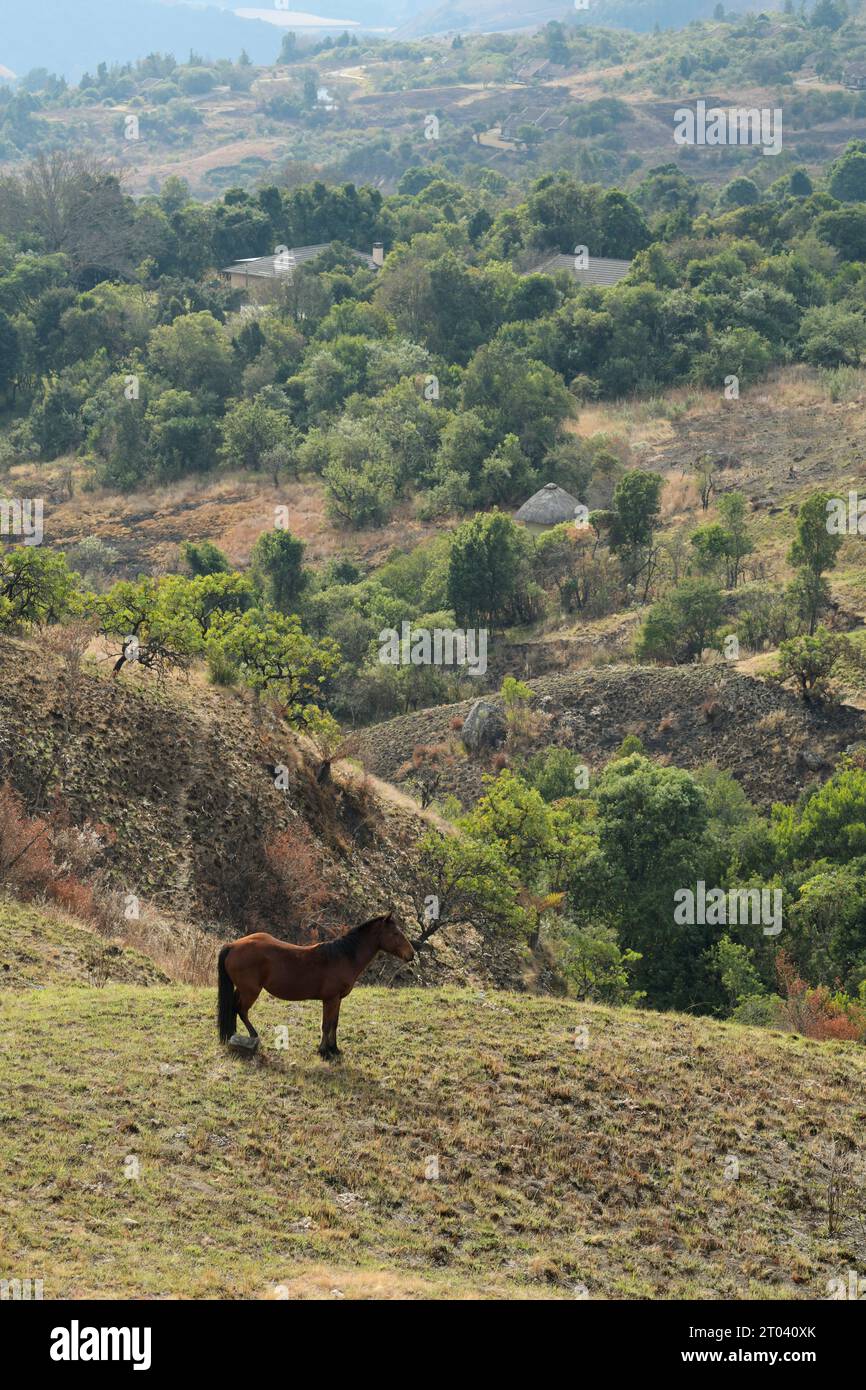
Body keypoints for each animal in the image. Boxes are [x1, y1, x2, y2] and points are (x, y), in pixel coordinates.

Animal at [217, 911, 415, 1060]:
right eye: (395, 934)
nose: (411, 954)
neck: (343, 957)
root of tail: (233, 945)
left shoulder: (337, 1000)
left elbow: (334, 1023)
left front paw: (334, 1049)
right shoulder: (330, 999)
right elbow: (326, 1025)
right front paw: (324, 1051)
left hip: (242, 989)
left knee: (234, 1008)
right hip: (251, 991)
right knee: (241, 1010)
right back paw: (253, 1036)